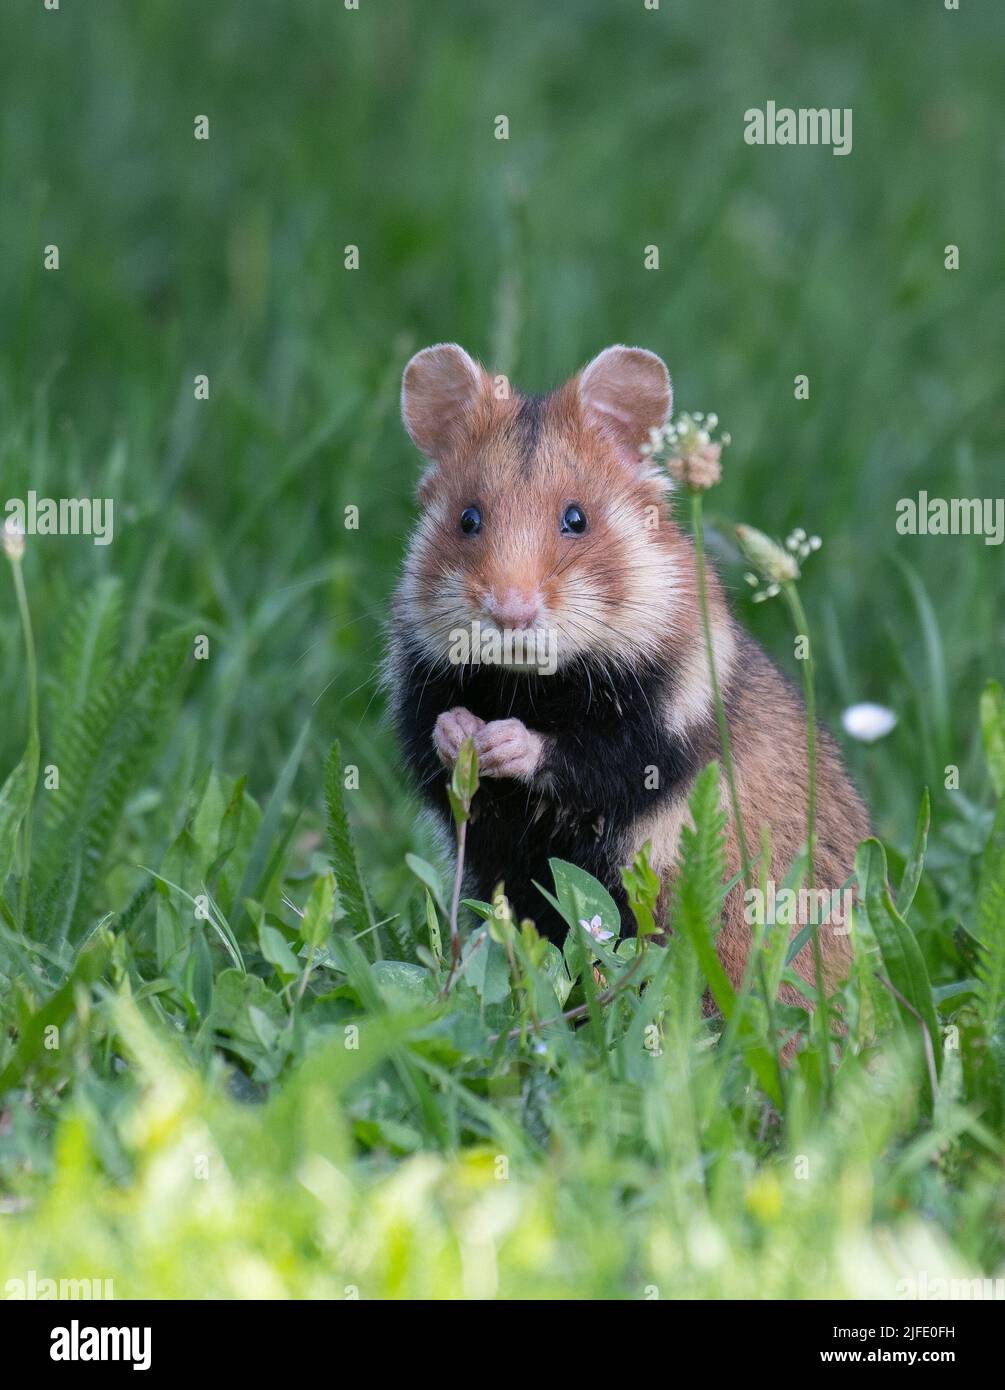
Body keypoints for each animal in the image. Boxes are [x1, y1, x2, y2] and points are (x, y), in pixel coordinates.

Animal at [389, 342, 870, 1003]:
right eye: (467, 519)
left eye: (576, 519)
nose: (511, 615)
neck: (528, 682)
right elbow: (431, 739)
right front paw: (461, 732)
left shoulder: (661, 728)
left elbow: (587, 755)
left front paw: (501, 741)